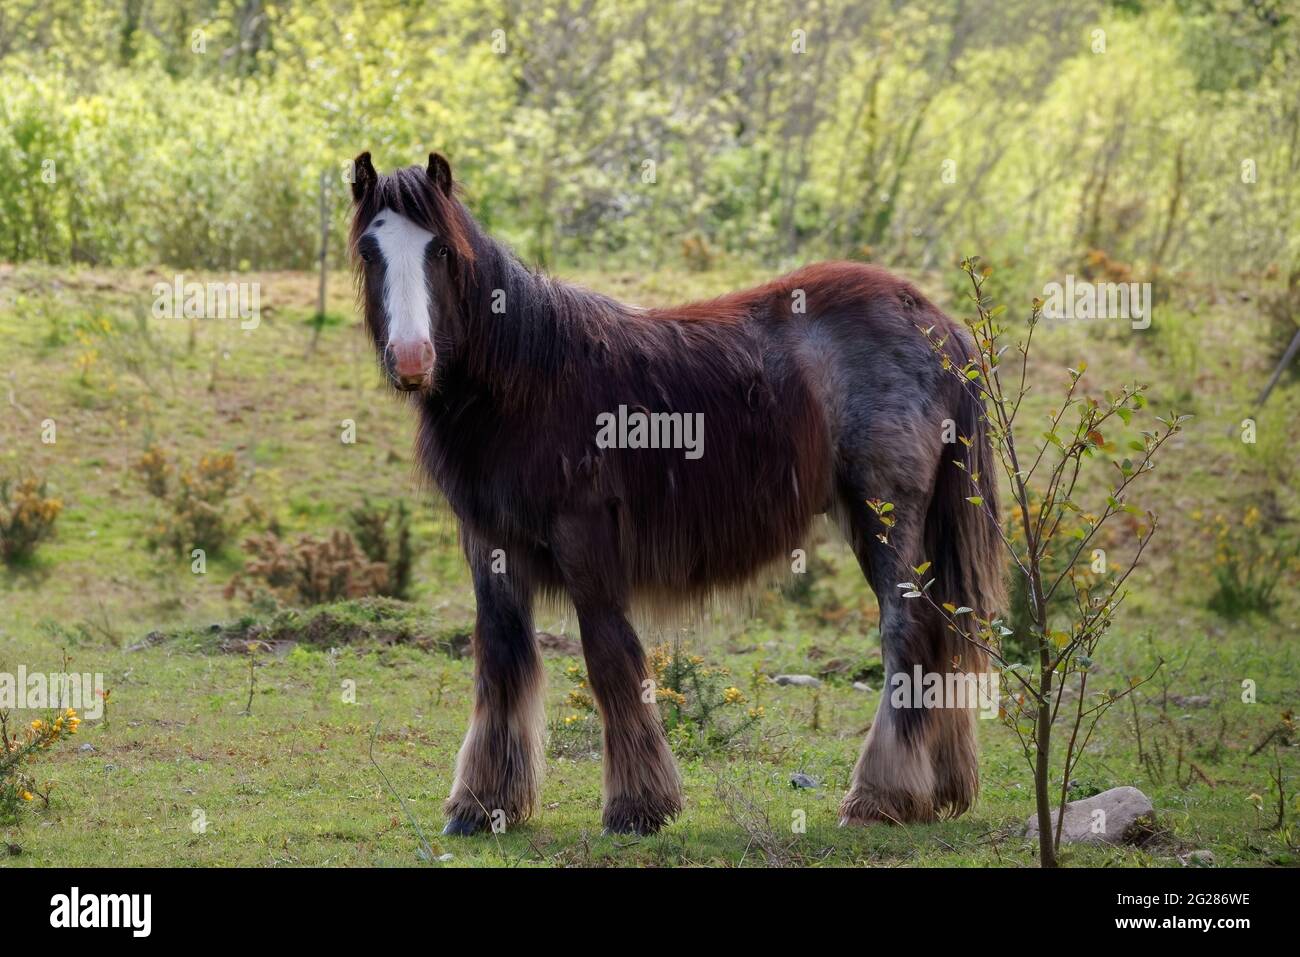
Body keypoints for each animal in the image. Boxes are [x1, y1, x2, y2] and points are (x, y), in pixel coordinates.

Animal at [348, 151, 1003, 836]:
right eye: (369, 251)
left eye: (442, 250)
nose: (413, 358)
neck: (526, 381)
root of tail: (937, 324)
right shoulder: (490, 543)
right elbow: (501, 659)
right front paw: (484, 803)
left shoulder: (584, 535)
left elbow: (609, 655)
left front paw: (638, 805)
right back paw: (940, 788)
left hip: (886, 513)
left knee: (908, 630)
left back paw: (882, 796)